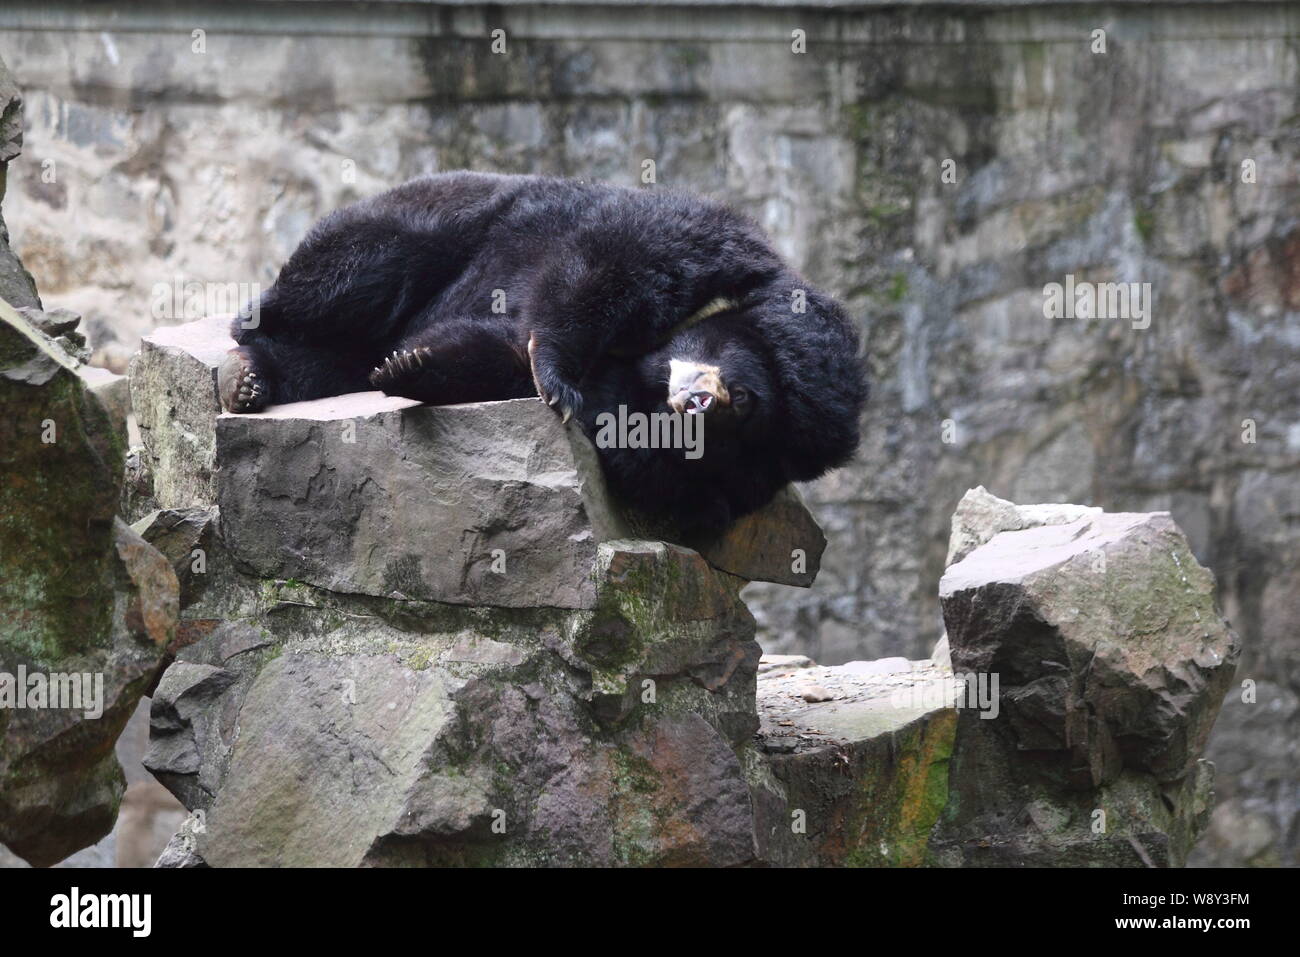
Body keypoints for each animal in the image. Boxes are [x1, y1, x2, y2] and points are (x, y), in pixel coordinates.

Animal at [219, 171, 866, 535]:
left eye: (745, 406)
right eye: (744, 386)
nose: (699, 403)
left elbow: (501, 356)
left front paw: (414, 366)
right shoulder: (706, 244)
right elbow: (603, 267)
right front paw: (553, 377)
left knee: (333, 357)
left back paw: (257, 378)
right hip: (441, 215)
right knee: (359, 268)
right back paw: (247, 355)